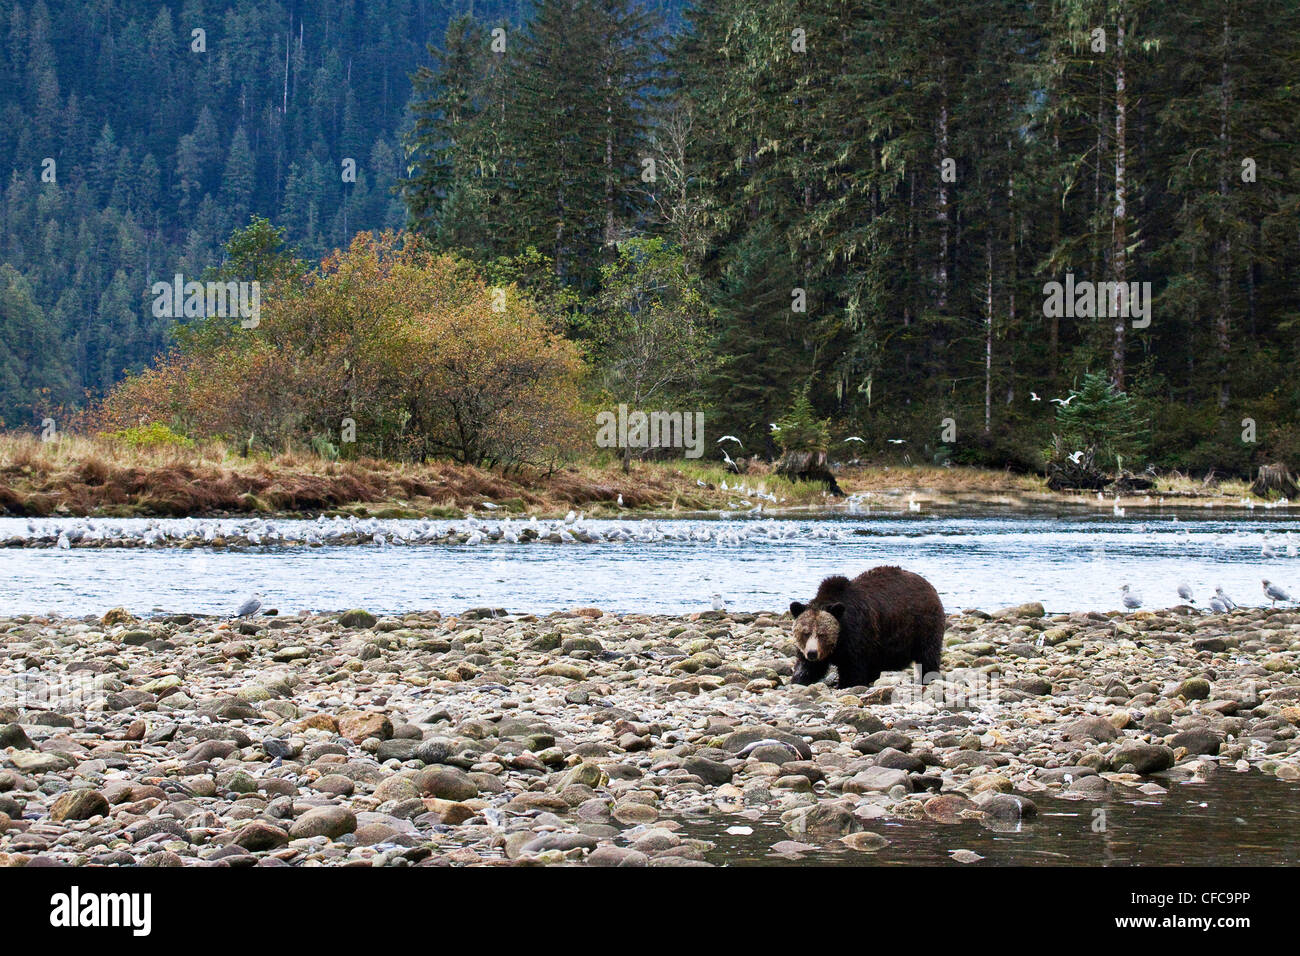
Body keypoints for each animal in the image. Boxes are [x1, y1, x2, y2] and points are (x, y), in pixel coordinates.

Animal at [788, 566, 944, 688]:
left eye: (822, 634)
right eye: (805, 632)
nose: (812, 653)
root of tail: (929, 586)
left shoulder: (857, 635)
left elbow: (853, 667)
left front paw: (846, 684)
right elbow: (809, 667)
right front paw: (799, 679)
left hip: (922, 626)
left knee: (927, 654)